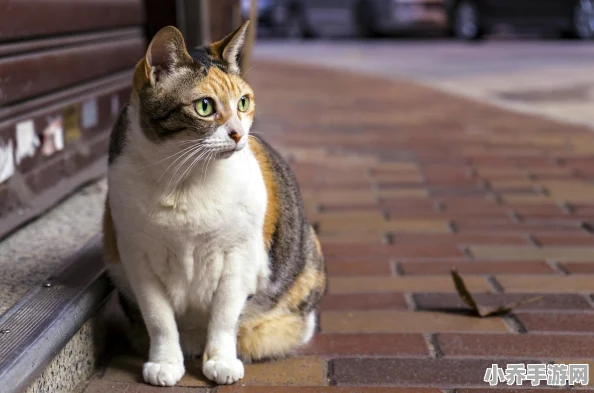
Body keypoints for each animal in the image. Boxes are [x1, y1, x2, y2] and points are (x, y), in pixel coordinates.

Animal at [102, 21, 324, 386]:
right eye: (204, 106)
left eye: (243, 102)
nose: (238, 133)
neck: (183, 181)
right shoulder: (136, 257)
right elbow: (159, 318)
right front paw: (165, 363)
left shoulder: (238, 256)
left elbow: (223, 316)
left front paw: (221, 361)